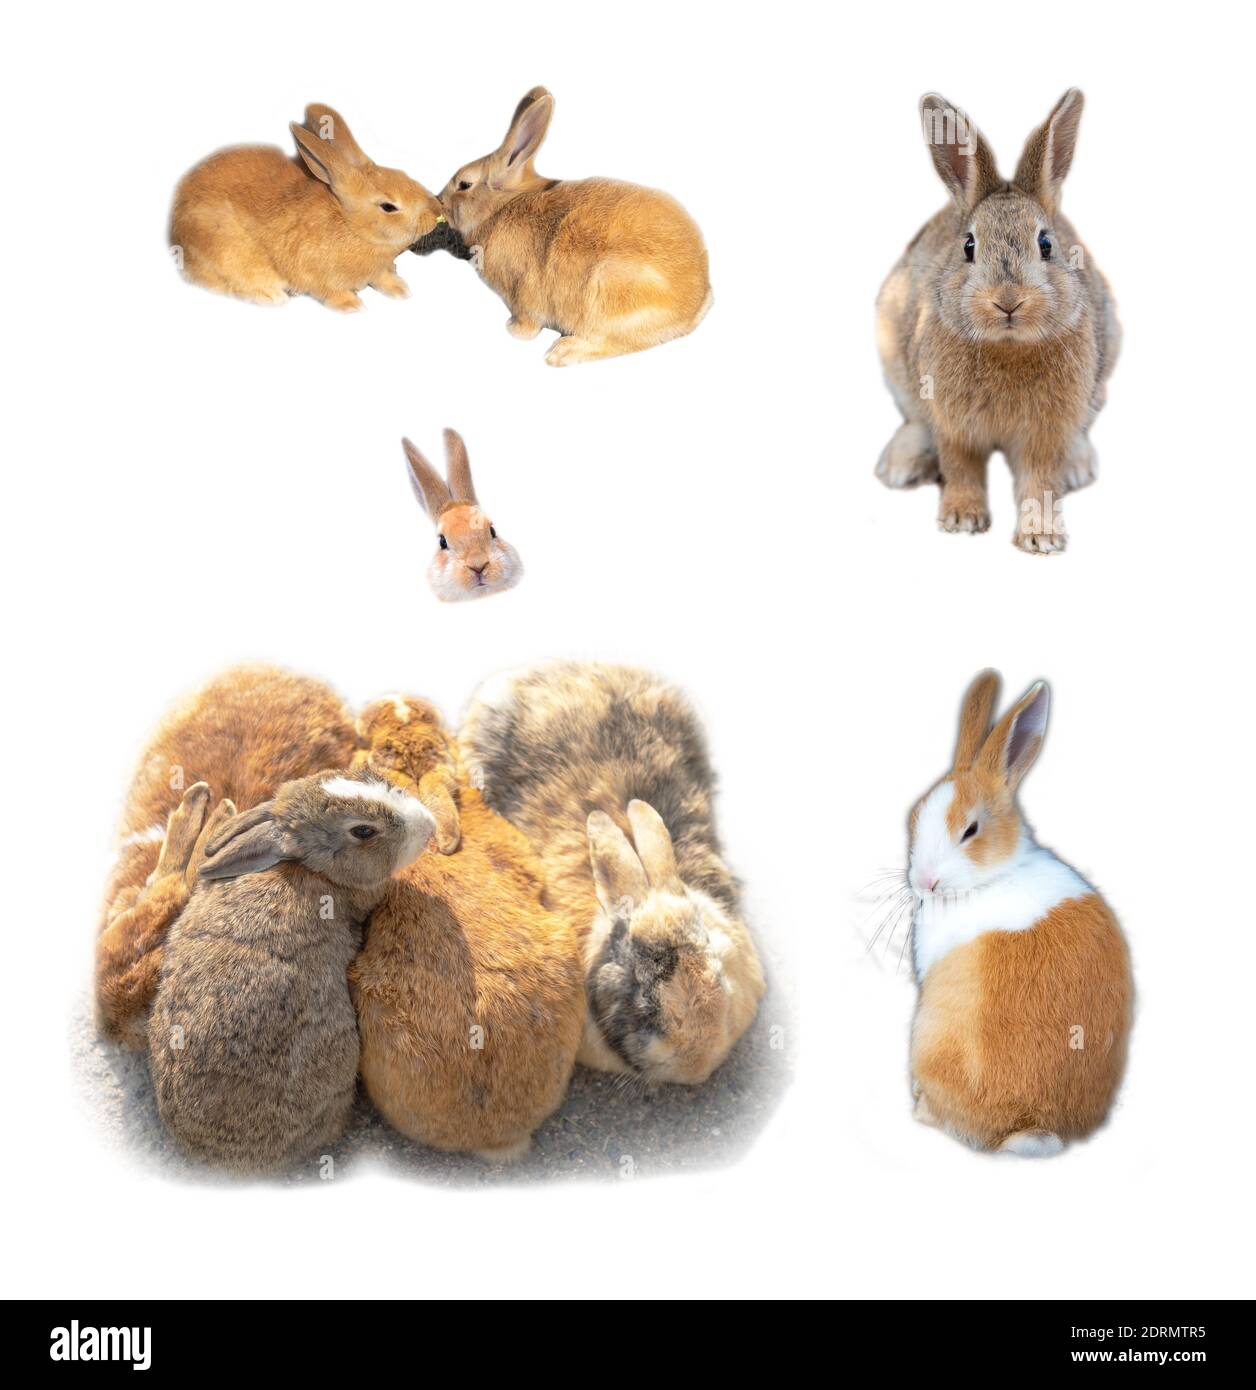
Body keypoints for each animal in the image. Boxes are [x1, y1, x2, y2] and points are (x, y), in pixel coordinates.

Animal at [170, 103, 444, 310]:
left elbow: (383, 279)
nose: (437, 211)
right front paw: (352, 306)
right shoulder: (316, 275)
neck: (351, 226)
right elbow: (330, 291)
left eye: (404, 175)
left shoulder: (376, 271)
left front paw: (401, 290)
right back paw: (270, 296)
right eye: (388, 207)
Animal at [438, 87, 712, 366]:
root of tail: (695, 302)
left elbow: (528, 321)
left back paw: (562, 352)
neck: (500, 207)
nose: (440, 201)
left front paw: (513, 331)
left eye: (464, 185)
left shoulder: (523, 295)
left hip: (607, 289)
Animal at [875, 90, 1121, 553]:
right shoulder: (953, 424)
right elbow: (961, 467)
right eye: (969, 246)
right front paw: (962, 518)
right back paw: (899, 465)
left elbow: (1041, 481)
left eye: (1046, 244)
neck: (1007, 347)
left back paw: (1078, 466)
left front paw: (1042, 537)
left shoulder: (1048, 431)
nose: (1007, 301)